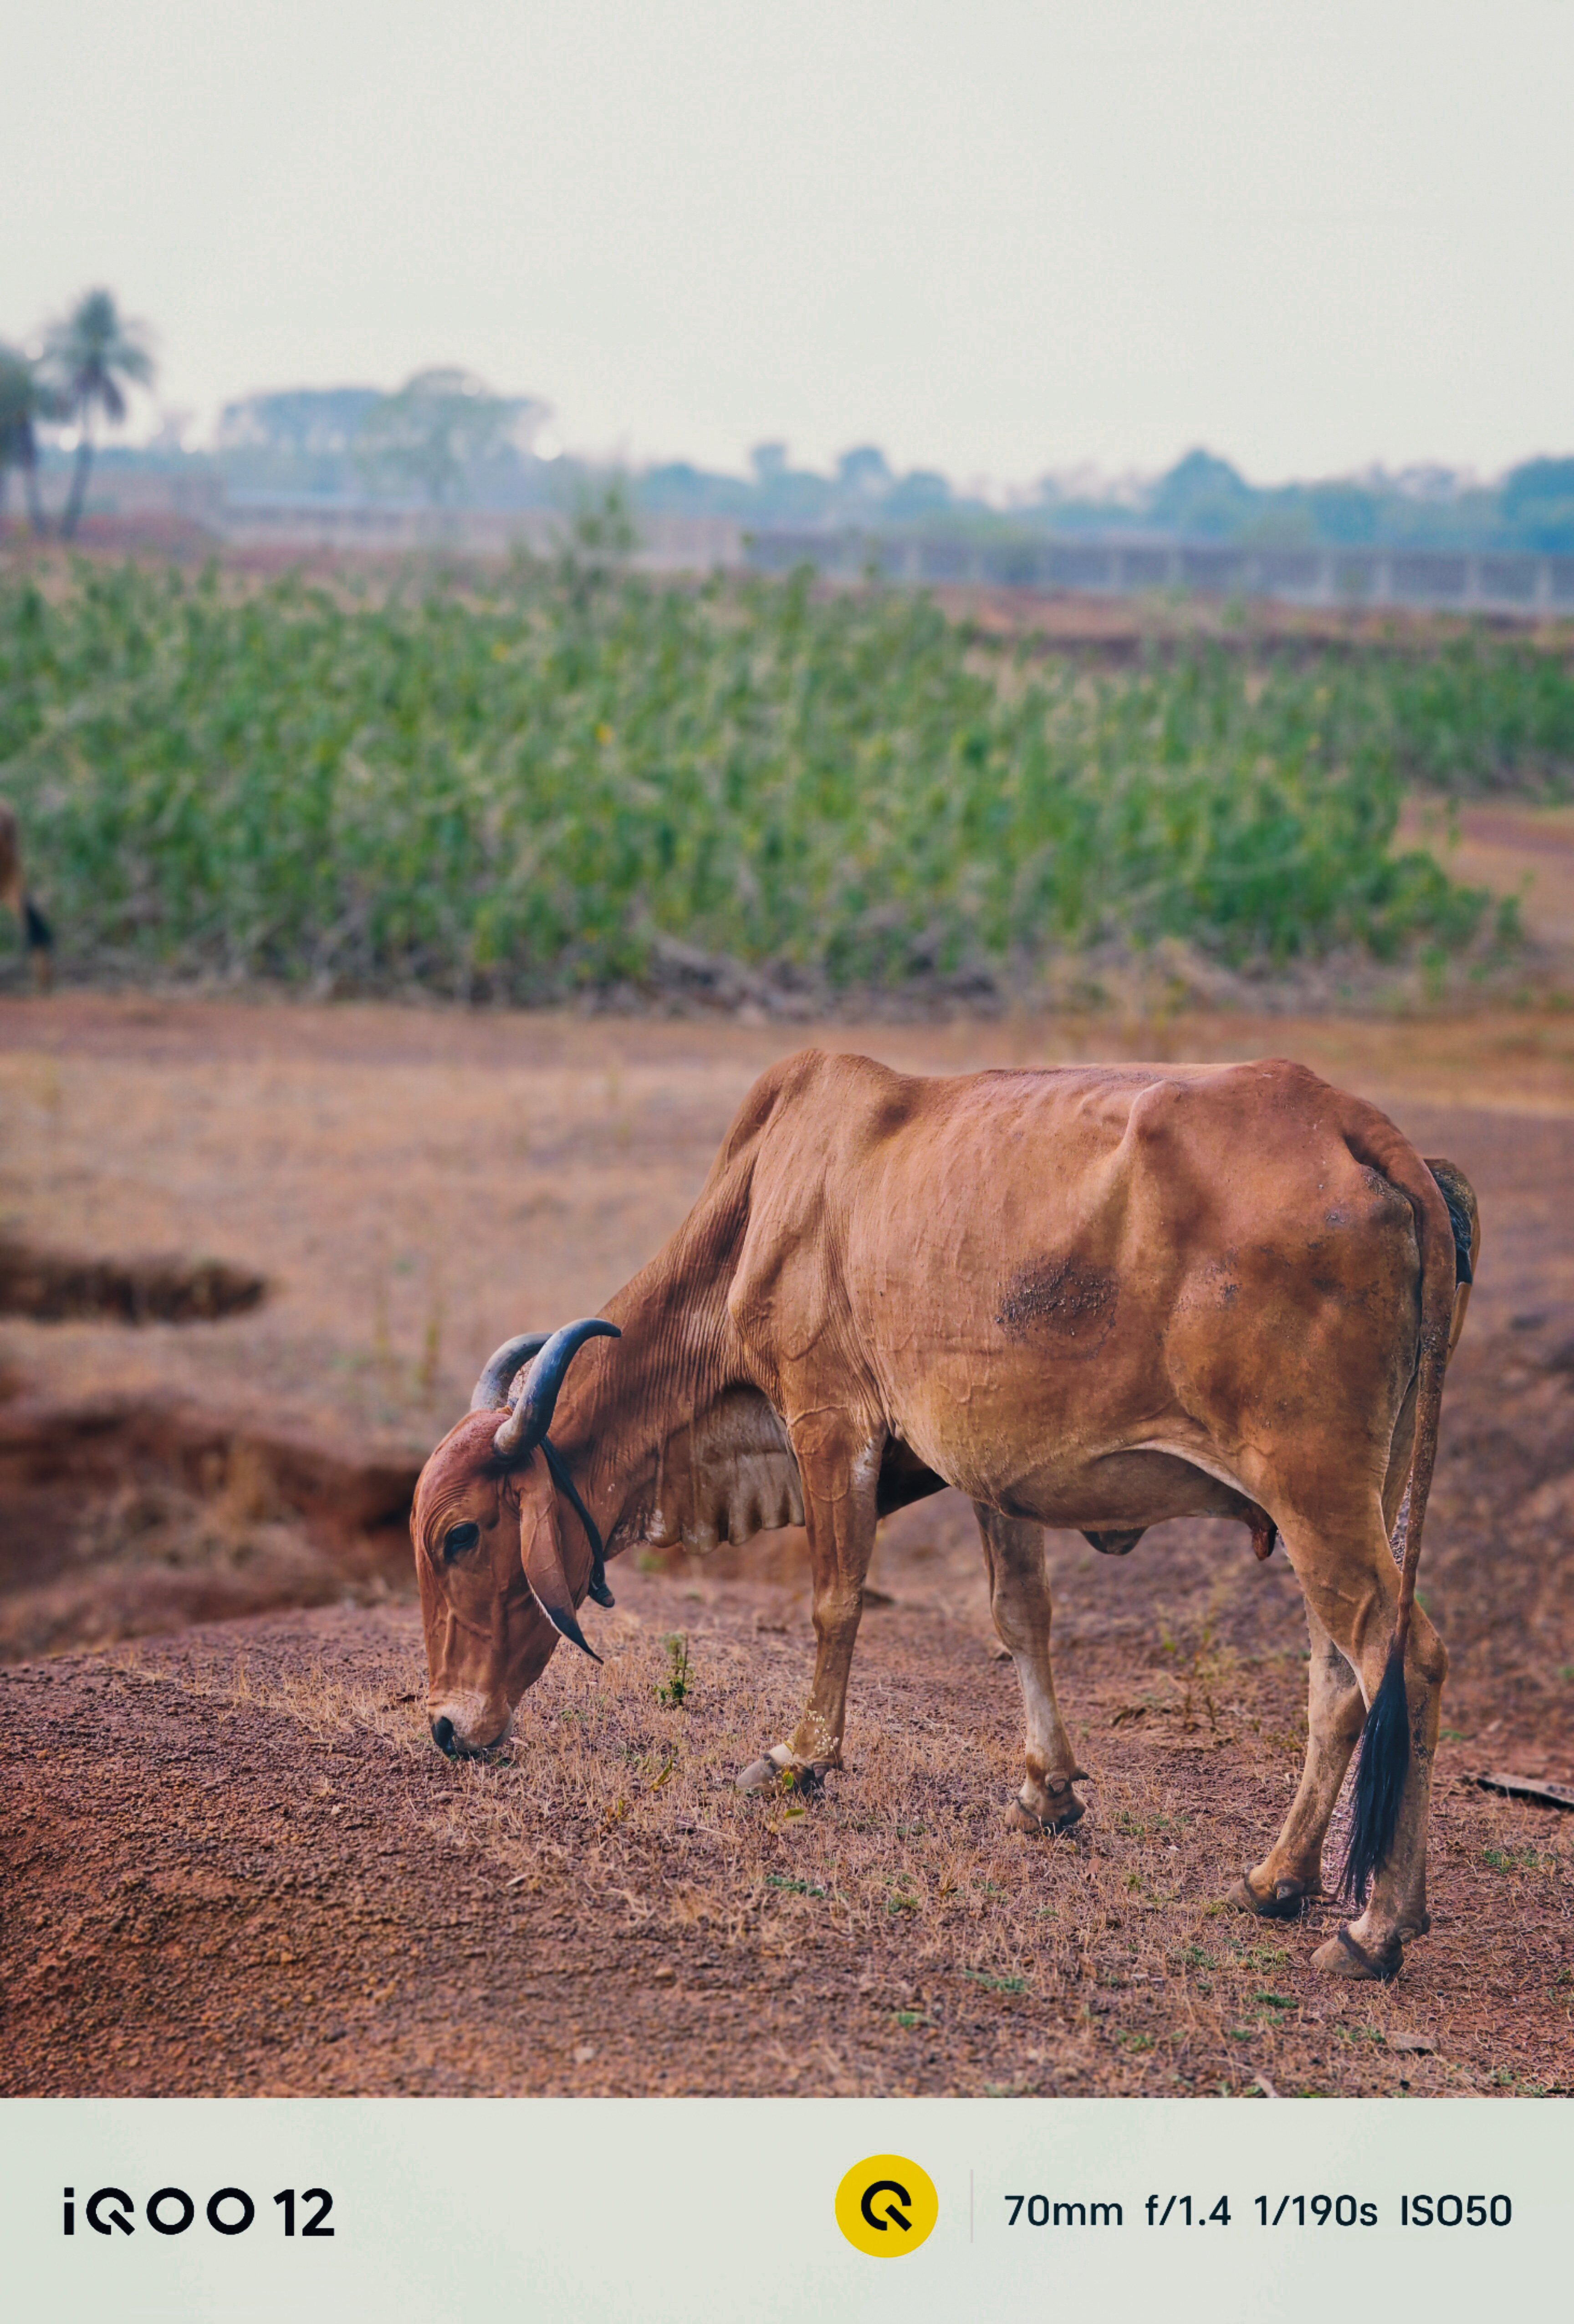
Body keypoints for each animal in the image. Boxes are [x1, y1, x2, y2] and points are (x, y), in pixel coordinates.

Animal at [412, 1049, 1478, 1982]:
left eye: (461, 1533)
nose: (449, 1727)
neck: (763, 1206)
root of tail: (1352, 1122)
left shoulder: (828, 1416)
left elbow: (835, 1601)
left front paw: (801, 1757)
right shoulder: (993, 1471)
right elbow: (1021, 1618)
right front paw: (1046, 1791)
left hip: (1313, 1488)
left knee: (1406, 1657)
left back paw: (1376, 1929)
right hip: (1348, 1497)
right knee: (1339, 1680)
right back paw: (1277, 1880)